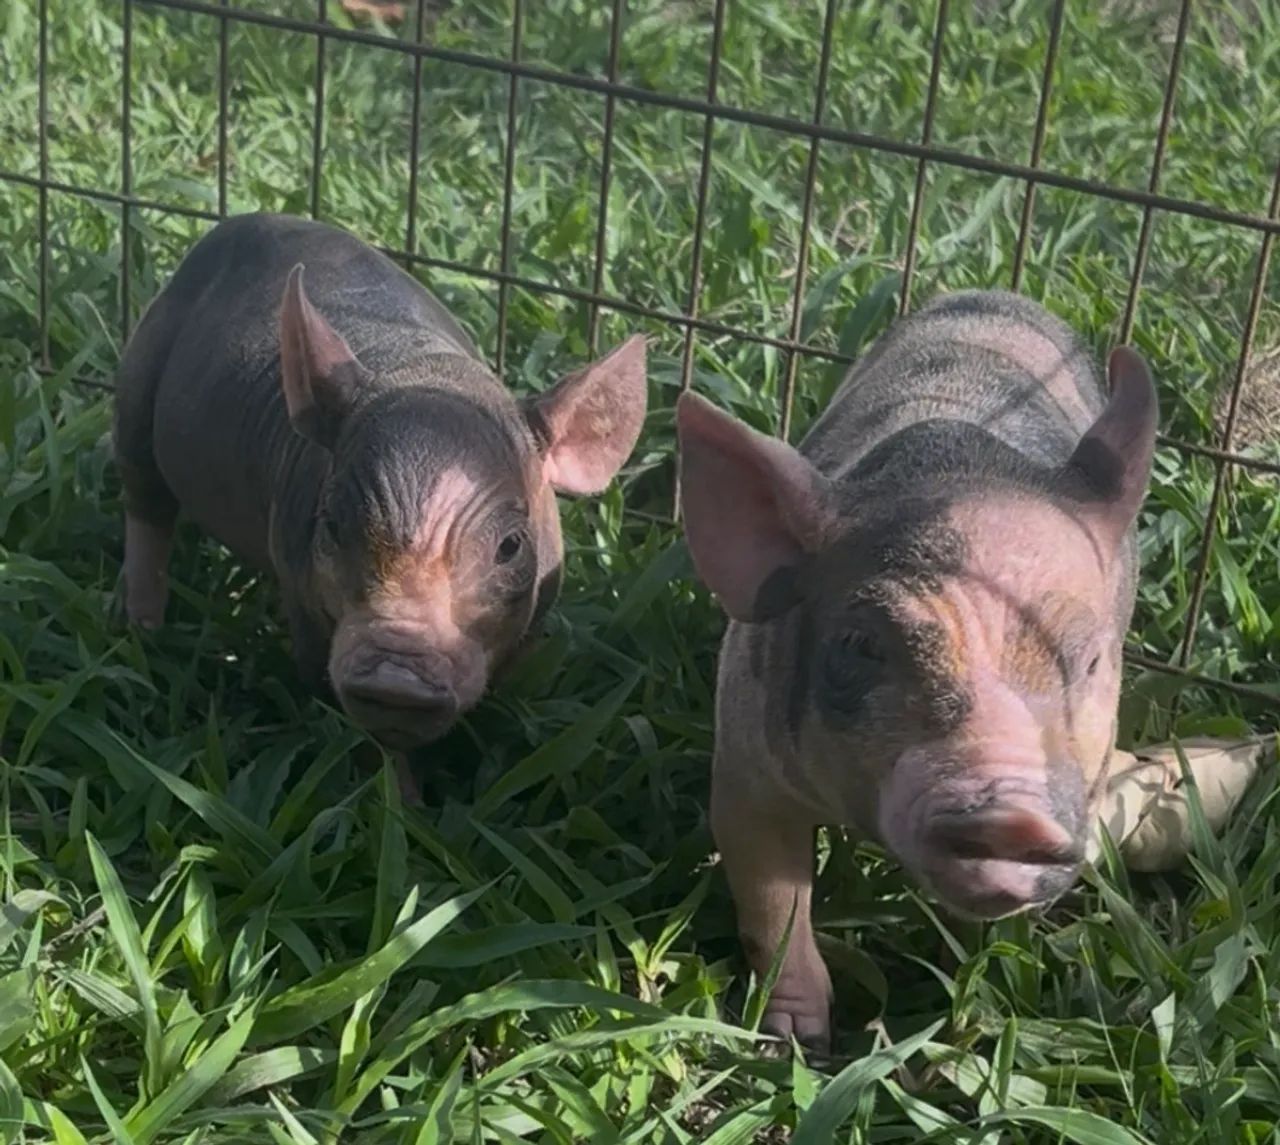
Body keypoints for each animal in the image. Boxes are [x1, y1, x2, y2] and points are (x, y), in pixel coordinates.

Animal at [113, 212, 647, 796]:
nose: (397, 676)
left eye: (511, 546)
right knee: (144, 499)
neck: (428, 373)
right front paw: (404, 806)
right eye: (331, 525)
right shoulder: (301, 595)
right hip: (140, 373)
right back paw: (140, 630)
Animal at [675, 289, 1158, 1053]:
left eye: (1087, 660)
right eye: (860, 644)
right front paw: (797, 1041)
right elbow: (772, 898)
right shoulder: (747, 761)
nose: (1012, 814)